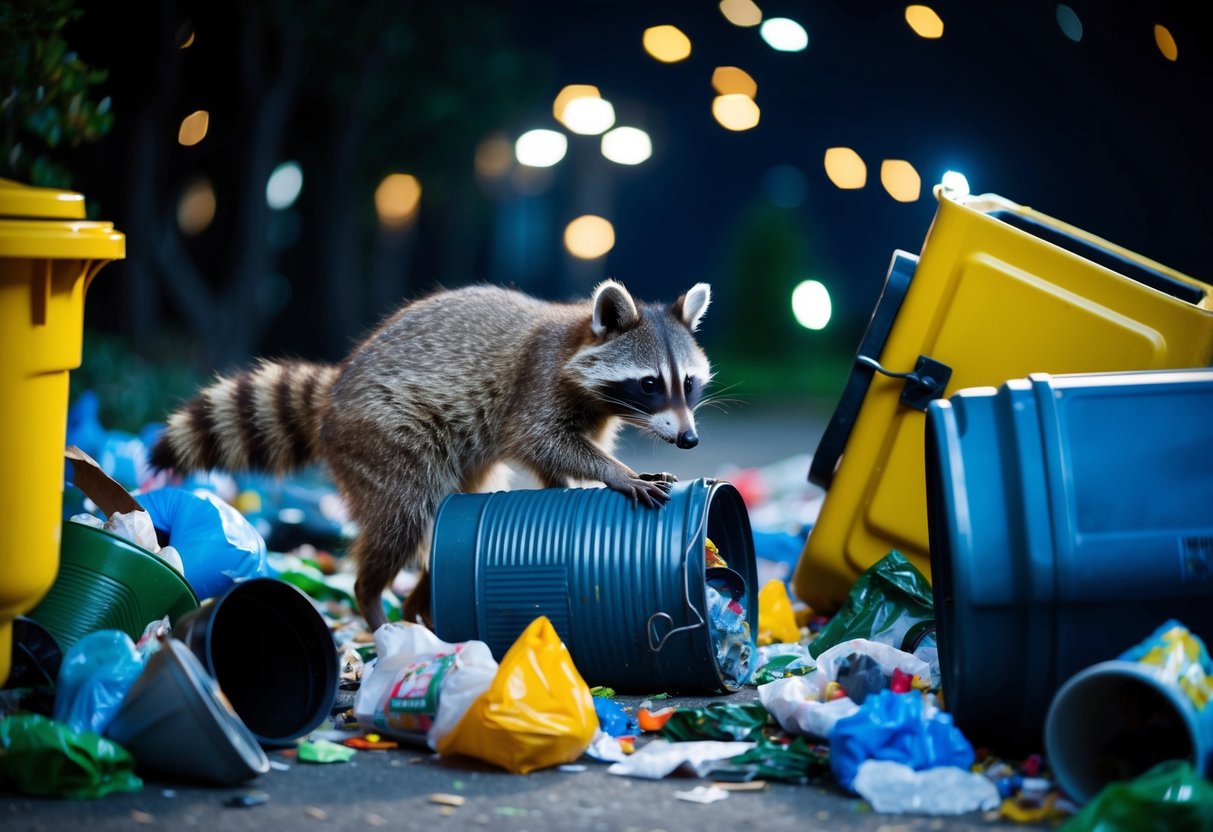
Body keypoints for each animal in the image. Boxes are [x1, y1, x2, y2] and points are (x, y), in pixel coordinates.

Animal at [150, 279, 713, 632]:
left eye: (687, 383)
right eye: (650, 384)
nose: (690, 441)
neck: (580, 340)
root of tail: (332, 396)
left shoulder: (593, 410)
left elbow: (550, 464)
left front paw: (576, 485)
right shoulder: (537, 385)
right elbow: (542, 441)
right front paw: (616, 473)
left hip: (460, 458)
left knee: (452, 504)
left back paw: (422, 598)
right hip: (385, 438)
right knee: (407, 514)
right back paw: (375, 601)